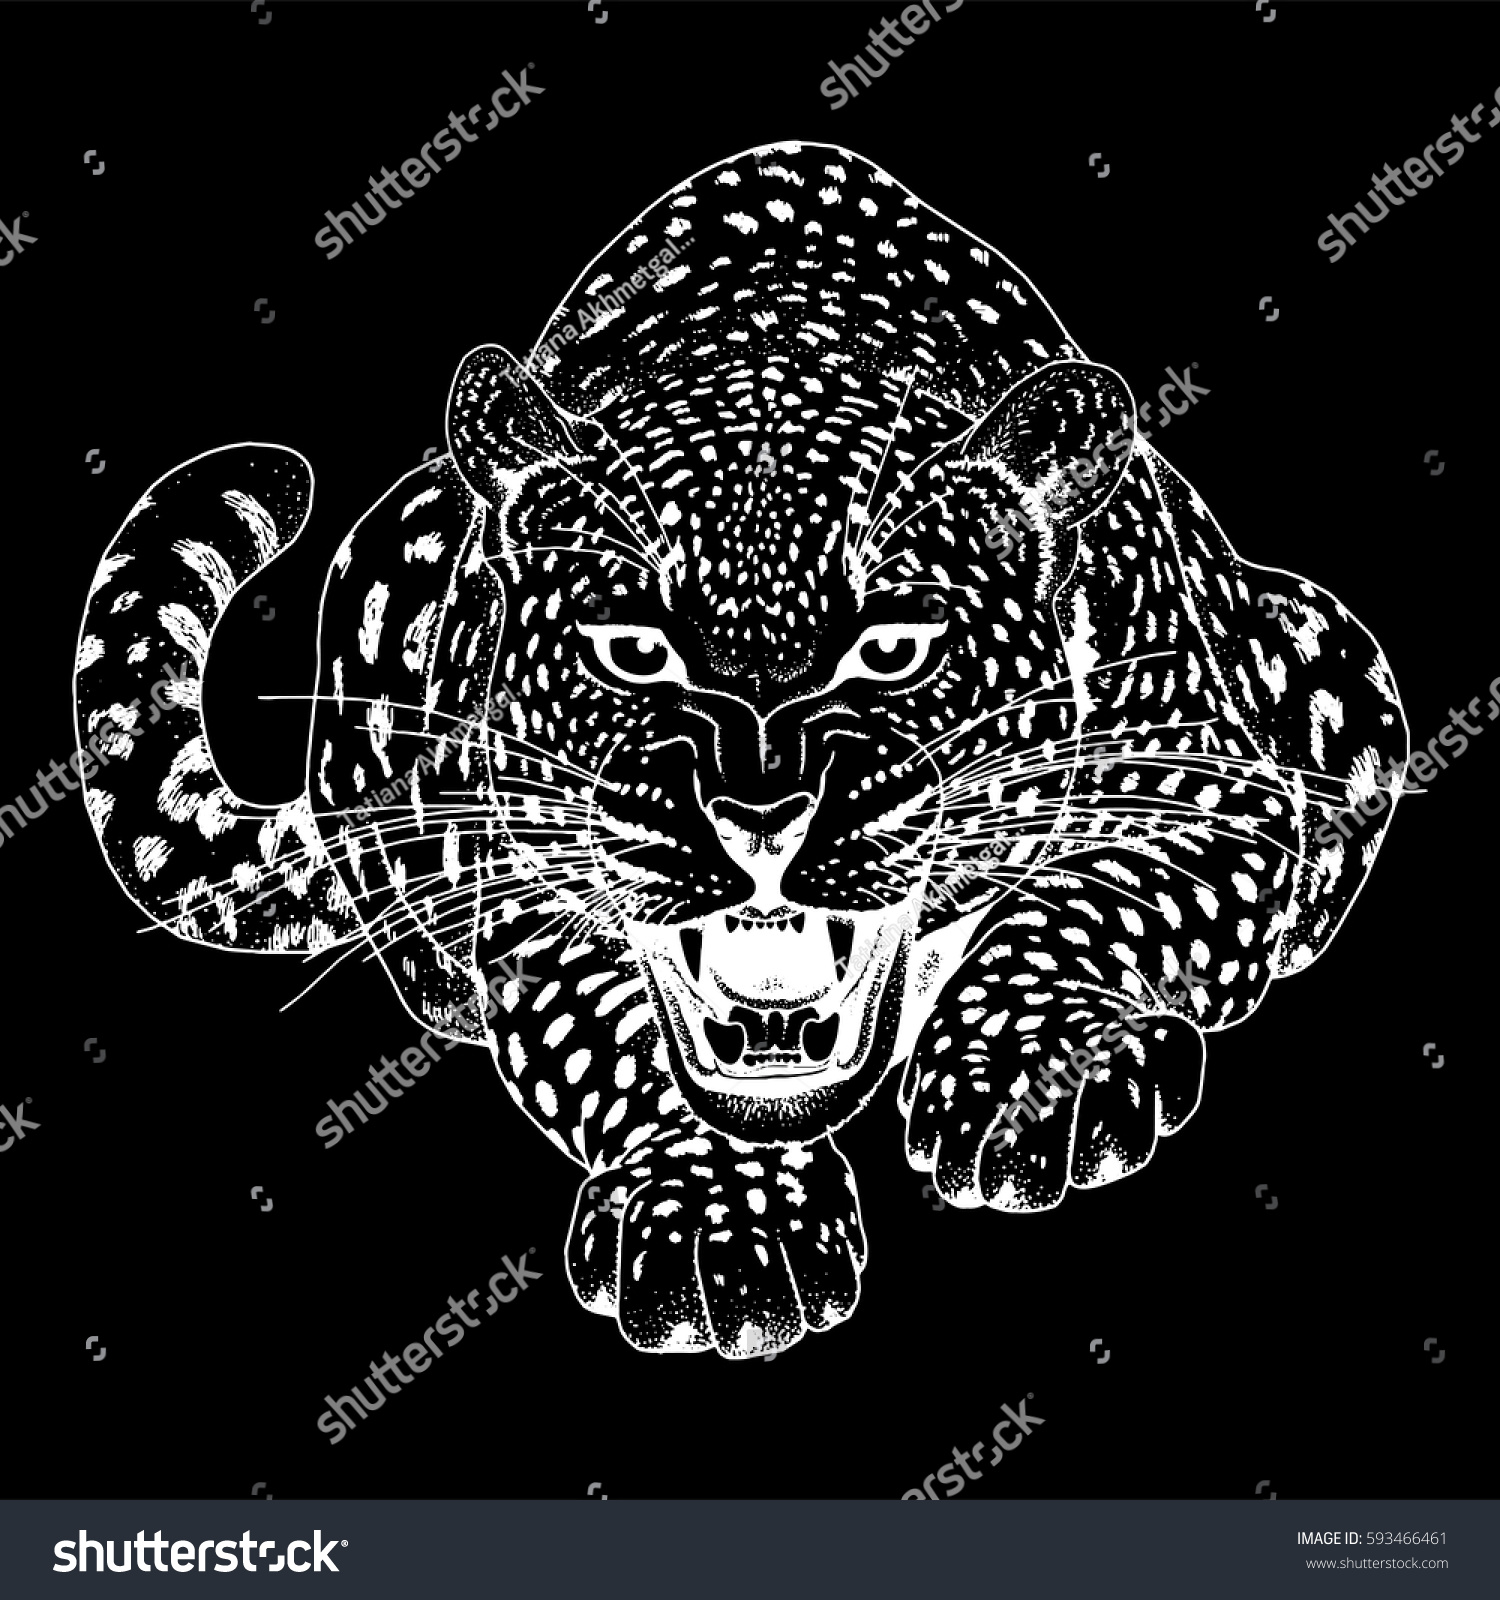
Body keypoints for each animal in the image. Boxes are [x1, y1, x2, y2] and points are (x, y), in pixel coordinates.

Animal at [73, 142, 1408, 1359]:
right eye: (632, 649)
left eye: (891, 647)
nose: (759, 813)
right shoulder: (523, 874)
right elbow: (611, 1015)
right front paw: (715, 1213)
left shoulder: (1220, 790)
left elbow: (1088, 902)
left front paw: (1031, 1077)